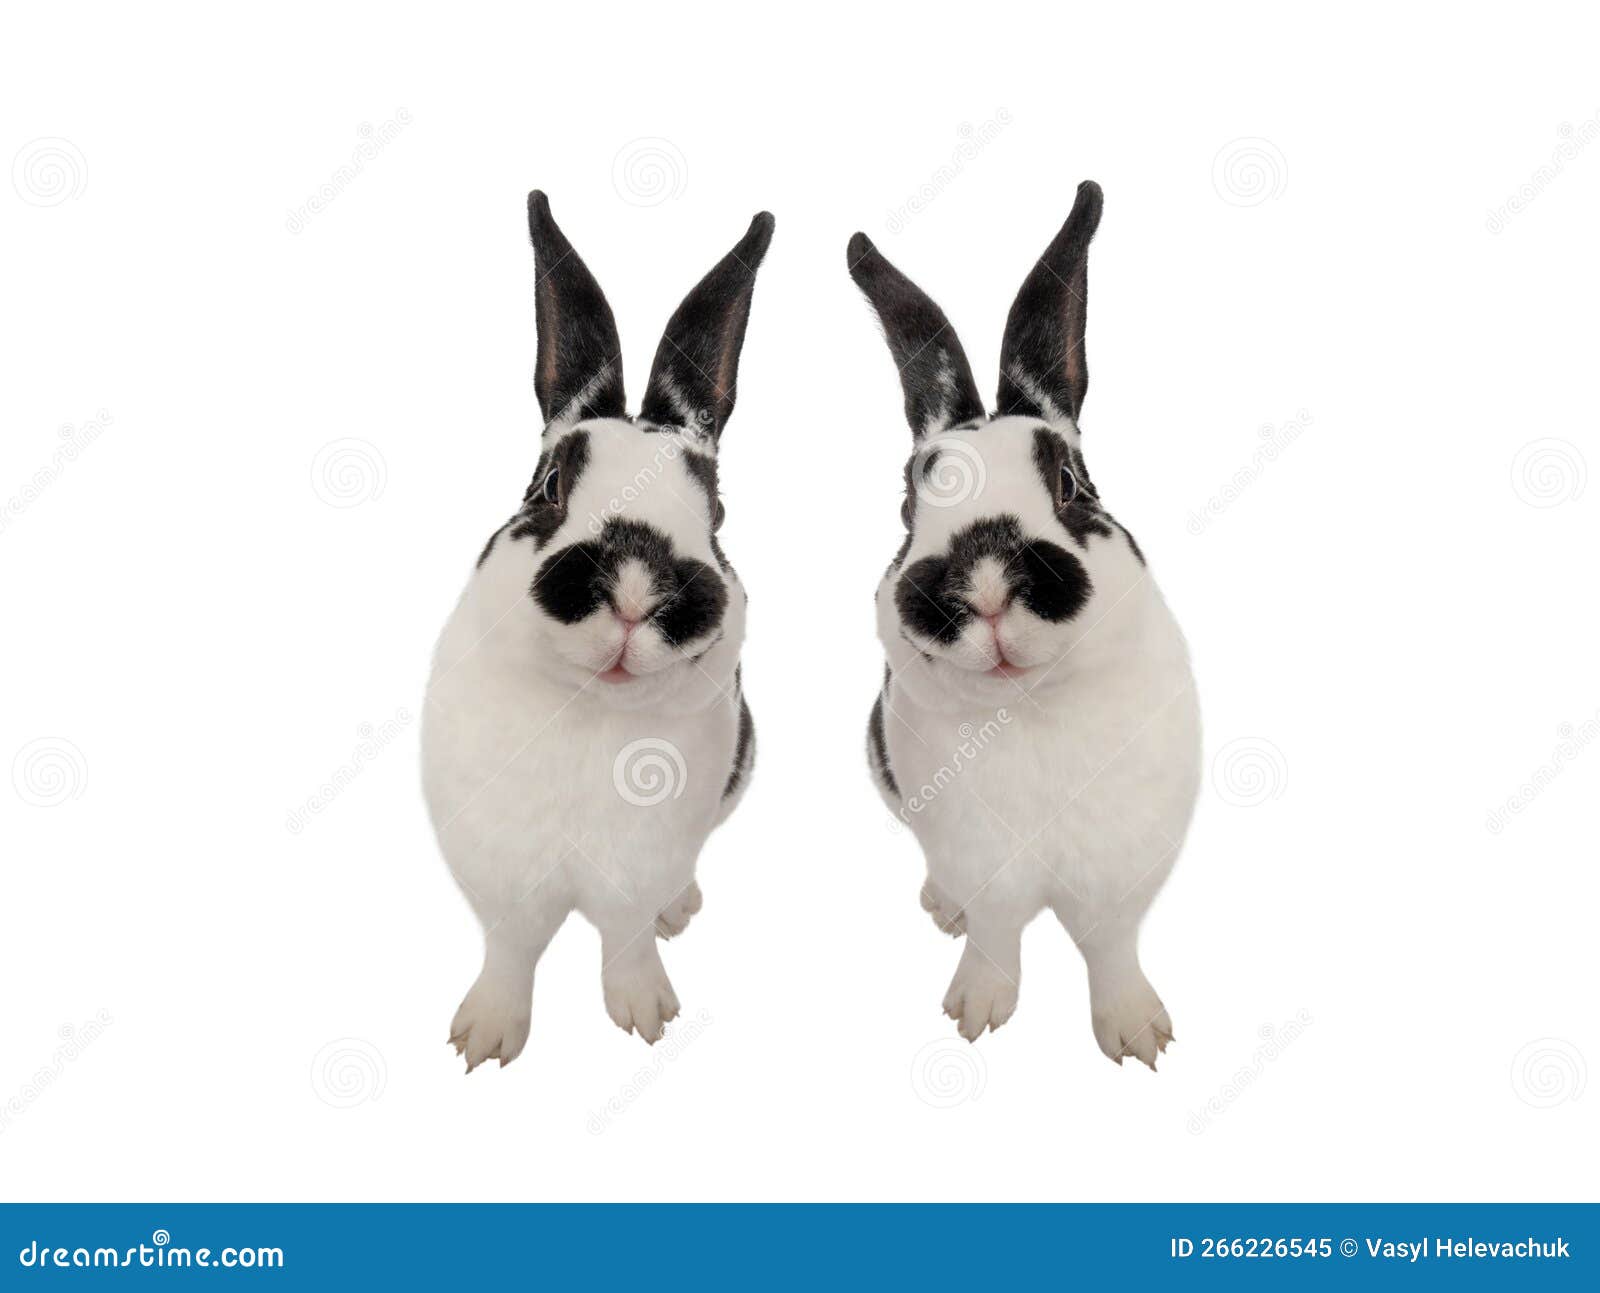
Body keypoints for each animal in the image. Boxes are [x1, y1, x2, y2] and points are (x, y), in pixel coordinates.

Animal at [422, 193, 773, 1070]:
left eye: (716, 512)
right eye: (547, 487)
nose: (635, 590)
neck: (589, 708)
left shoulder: (639, 869)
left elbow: (627, 940)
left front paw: (646, 1013)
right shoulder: (502, 875)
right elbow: (511, 948)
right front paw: (485, 1036)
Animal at [847, 181, 1200, 1067]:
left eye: (1072, 483)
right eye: (909, 504)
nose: (985, 585)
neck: (1030, 704)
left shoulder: (1120, 870)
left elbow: (1111, 945)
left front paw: (1137, 1032)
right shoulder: (981, 862)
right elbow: (996, 936)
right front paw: (976, 1009)